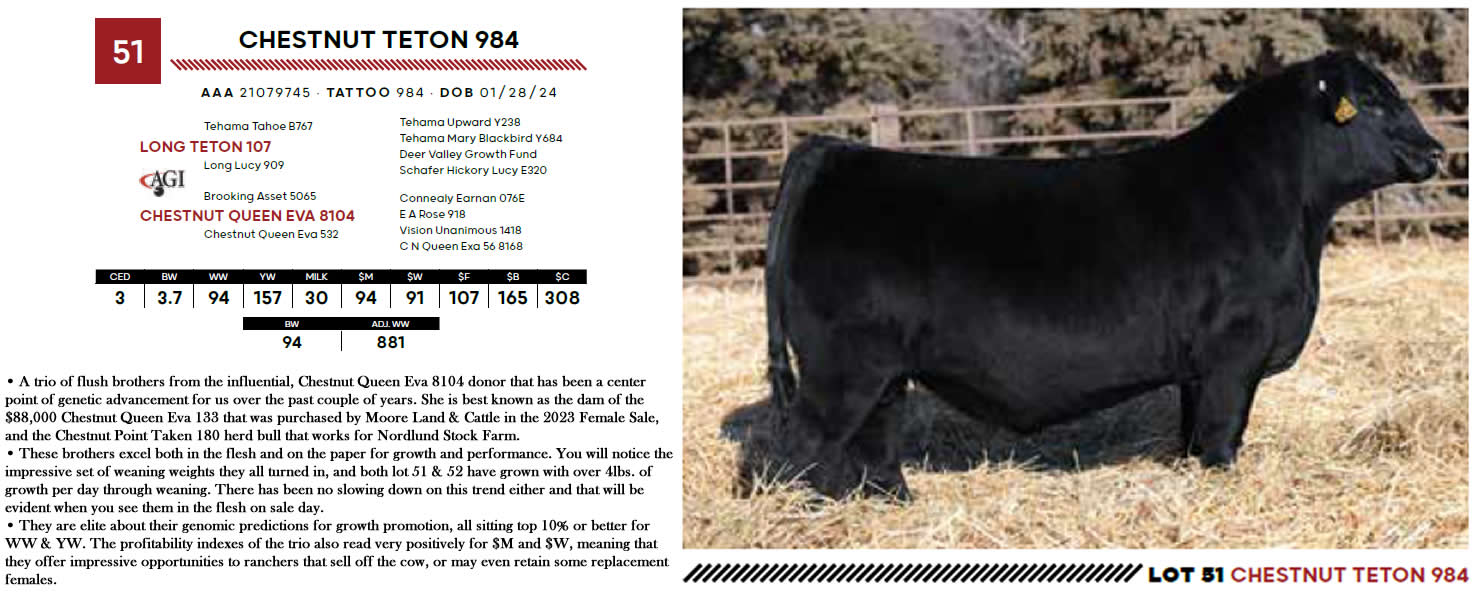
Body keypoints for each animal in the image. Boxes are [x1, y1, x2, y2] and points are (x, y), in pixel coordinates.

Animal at [763, 51, 1444, 501]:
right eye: (1372, 102)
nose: (1435, 151)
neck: (1292, 218)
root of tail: (838, 151)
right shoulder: (1235, 352)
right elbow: (1223, 431)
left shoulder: (1200, 366)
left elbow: (1193, 431)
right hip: (840, 365)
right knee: (801, 445)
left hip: (882, 369)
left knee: (875, 439)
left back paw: (890, 503)